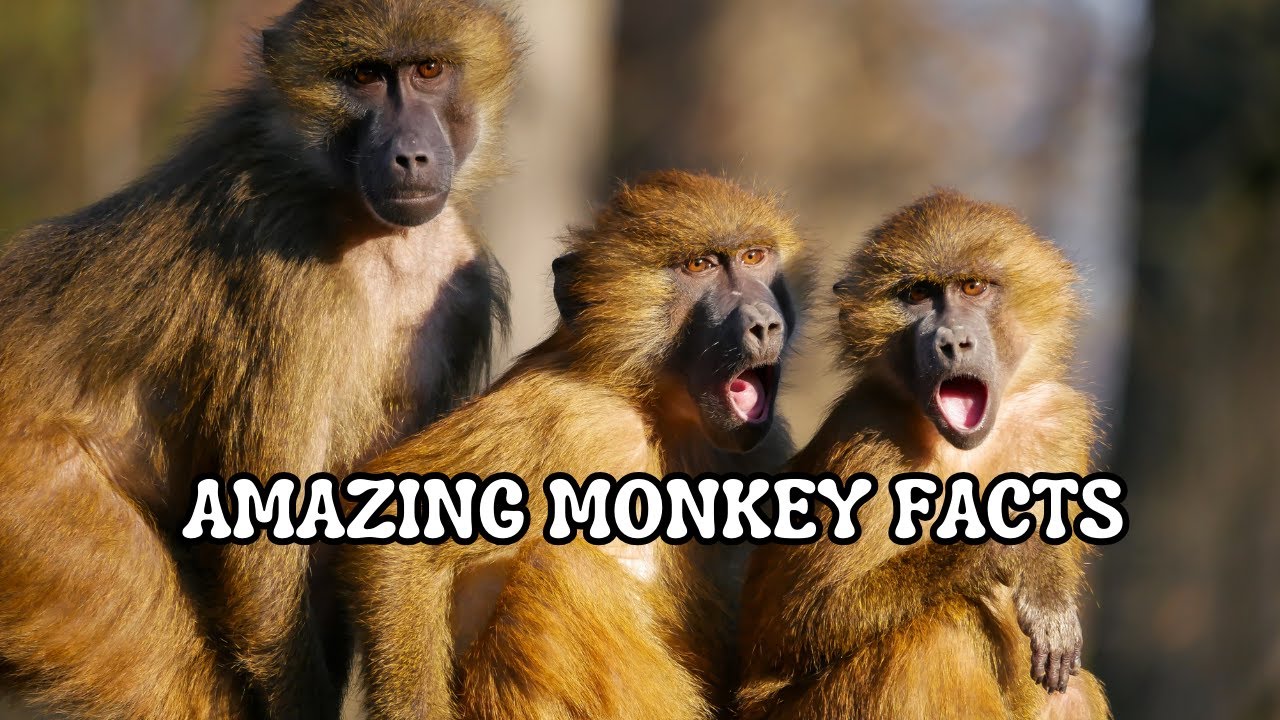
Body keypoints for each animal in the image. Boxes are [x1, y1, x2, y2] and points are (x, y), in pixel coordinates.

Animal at [0, 2, 522, 718]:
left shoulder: (461, 294)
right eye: (364, 76)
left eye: (429, 70)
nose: (410, 155)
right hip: (35, 511)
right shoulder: (286, 278)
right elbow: (264, 547)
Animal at [339, 170, 812, 720]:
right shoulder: (569, 415)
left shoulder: (764, 445)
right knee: (560, 575)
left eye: (754, 256)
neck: (656, 409)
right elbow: (397, 532)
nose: (764, 323)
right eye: (699, 265)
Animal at [736, 191, 1111, 720]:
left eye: (973, 287)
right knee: (936, 633)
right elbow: (796, 621)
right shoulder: (868, 437)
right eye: (916, 295)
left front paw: (1045, 577)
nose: (951, 341)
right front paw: (1016, 549)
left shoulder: (1057, 423)